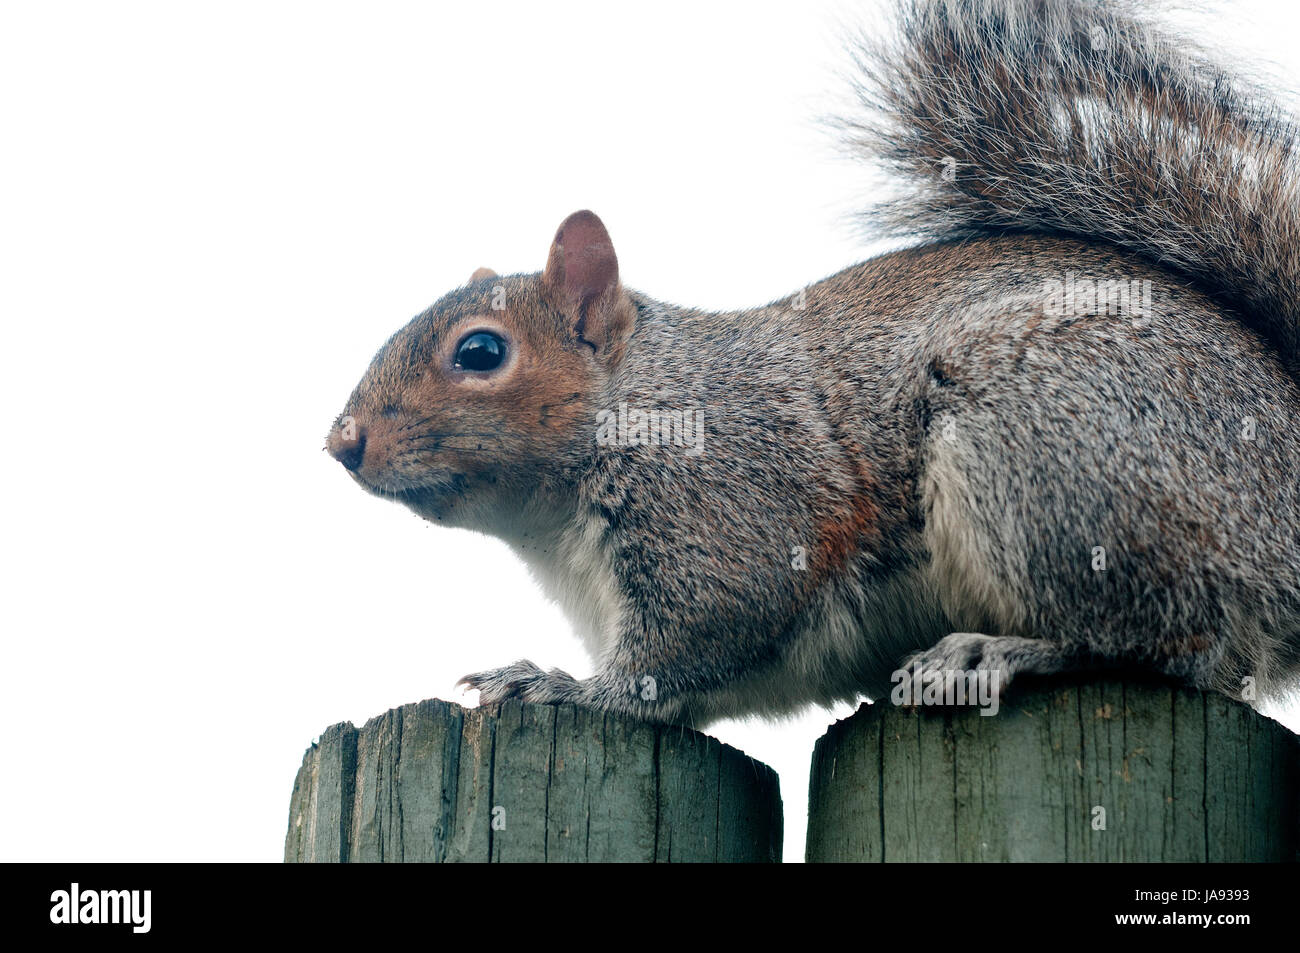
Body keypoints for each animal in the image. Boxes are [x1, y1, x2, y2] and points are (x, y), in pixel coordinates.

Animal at [327, 0, 1300, 726]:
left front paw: (559, 684)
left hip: (1049, 450)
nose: (342, 442)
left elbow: (688, 645)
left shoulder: (730, 509)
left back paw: (995, 648)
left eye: (480, 352)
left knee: (1180, 639)